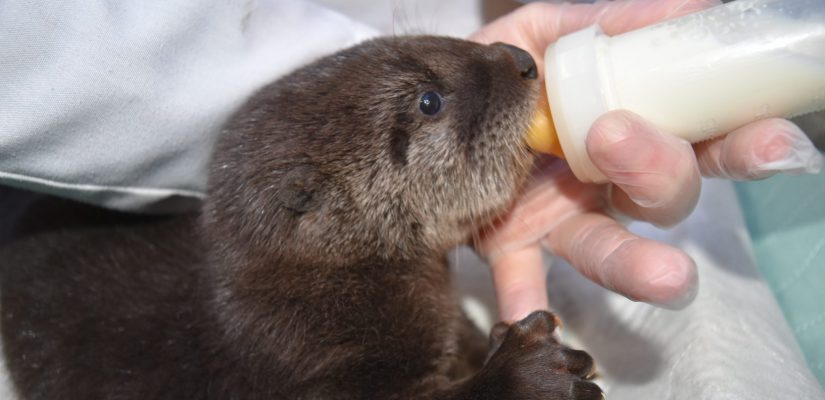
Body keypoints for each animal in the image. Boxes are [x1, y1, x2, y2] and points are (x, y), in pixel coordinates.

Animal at [0, 36, 601, 399]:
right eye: (429, 100)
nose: (522, 59)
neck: (321, 292)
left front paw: (499, 336)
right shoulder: (307, 357)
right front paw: (531, 374)